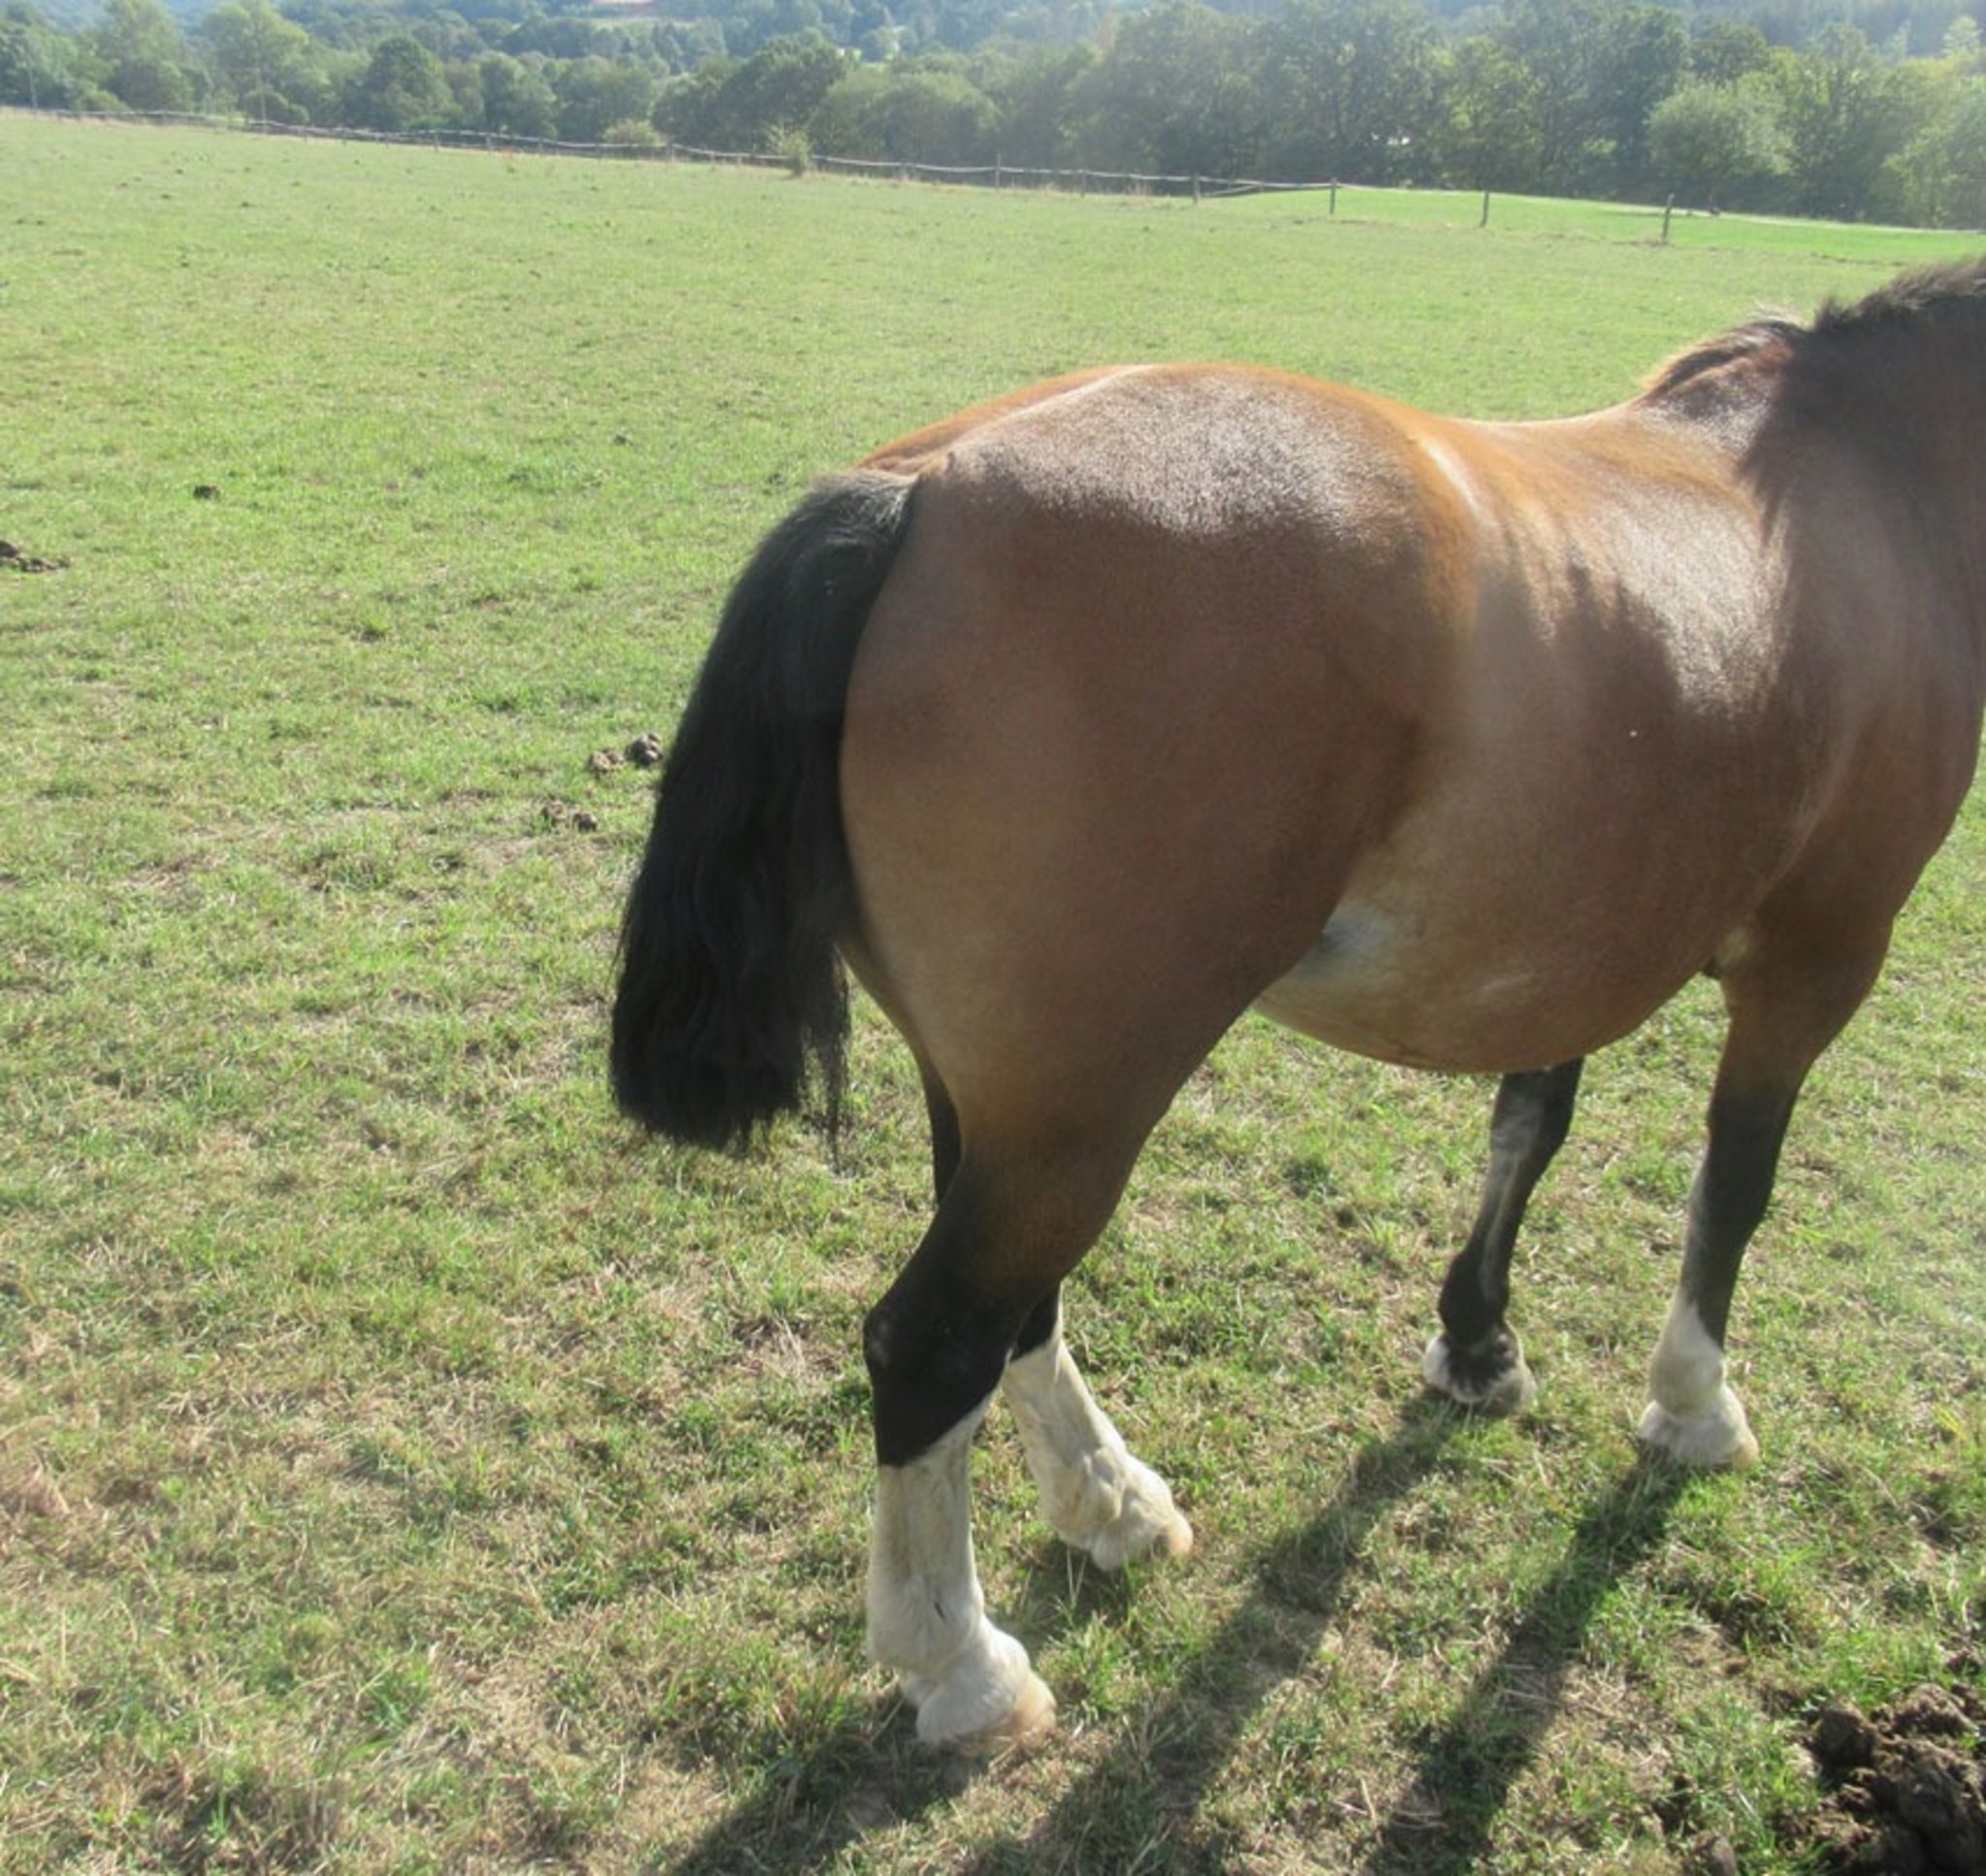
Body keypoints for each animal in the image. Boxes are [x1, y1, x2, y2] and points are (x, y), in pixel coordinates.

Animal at [612, 259, 1986, 1752]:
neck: (1873, 477)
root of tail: (919, 491)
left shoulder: (1578, 945)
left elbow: (1530, 1124)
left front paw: (1478, 1340)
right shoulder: (1819, 953)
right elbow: (1732, 1186)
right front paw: (1693, 1405)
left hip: (1002, 1098)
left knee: (1015, 1315)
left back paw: (1108, 1502)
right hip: (1083, 1105)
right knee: (931, 1346)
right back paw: (963, 1667)